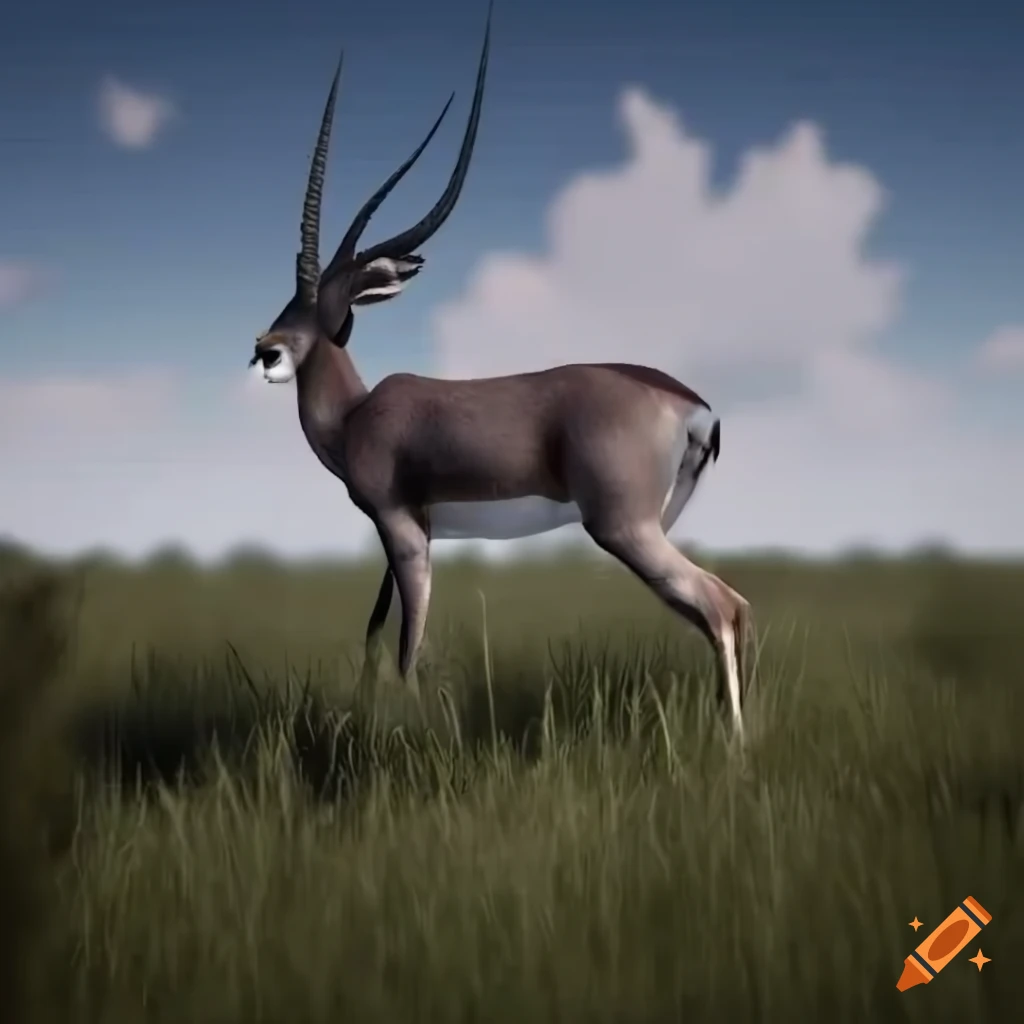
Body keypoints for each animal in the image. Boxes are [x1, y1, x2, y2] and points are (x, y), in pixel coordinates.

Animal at [249, 7, 753, 737]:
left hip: (625, 530)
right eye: (292, 298)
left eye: (324, 303)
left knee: (721, 604)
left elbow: (407, 648)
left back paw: (736, 748)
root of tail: (691, 404)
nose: (266, 349)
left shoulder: (402, 528)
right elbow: (374, 635)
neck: (356, 414)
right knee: (726, 607)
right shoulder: (410, 534)